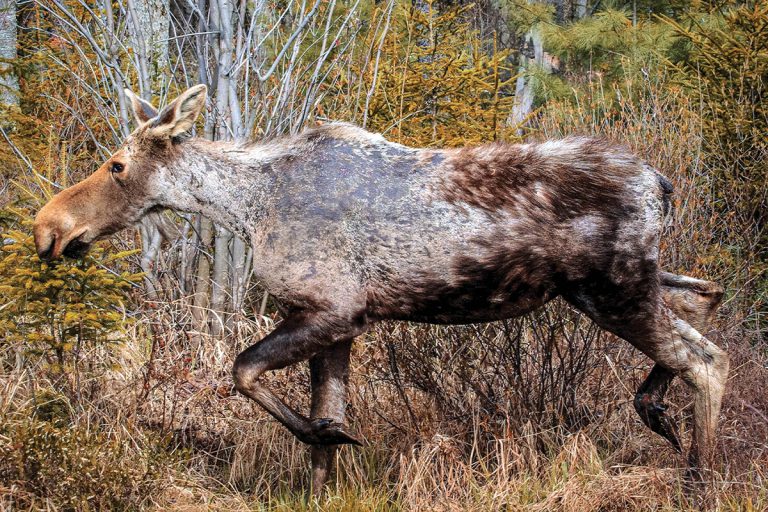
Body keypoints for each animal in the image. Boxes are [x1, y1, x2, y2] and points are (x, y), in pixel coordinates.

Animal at [33, 85, 728, 495]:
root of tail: (663, 184)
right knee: (704, 305)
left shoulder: (335, 310)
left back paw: (697, 479)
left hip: (614, 289)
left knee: (707, 358)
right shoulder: (335, 321)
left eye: (117, 165)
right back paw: (657, 410)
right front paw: (326, 457)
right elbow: (322, 425)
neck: (247, 209)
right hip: (624, 285)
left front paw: (329, 437)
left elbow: (244, 369)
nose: (48, 228)